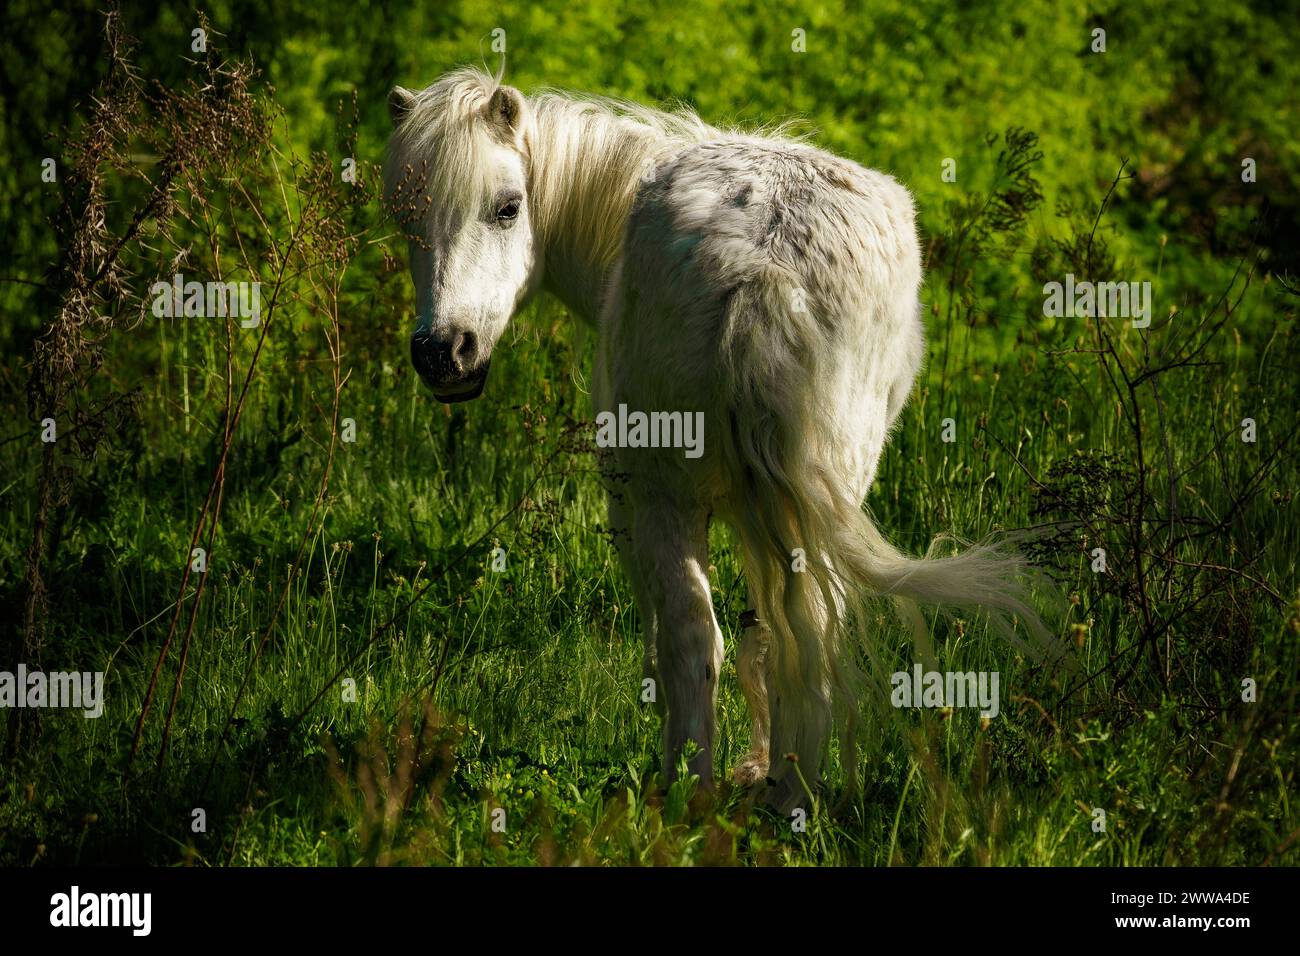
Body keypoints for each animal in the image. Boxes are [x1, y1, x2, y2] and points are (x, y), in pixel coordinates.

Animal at [383, 67, 1051, 812]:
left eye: (507, 208)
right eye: (404, 218)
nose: (444, 354)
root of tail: (764, 268)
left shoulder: (634, 505)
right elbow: (768, 634)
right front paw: (760, 765)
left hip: (665, 501)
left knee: (694, 640)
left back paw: (688, 790)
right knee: (808, 630)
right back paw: (789, 794)